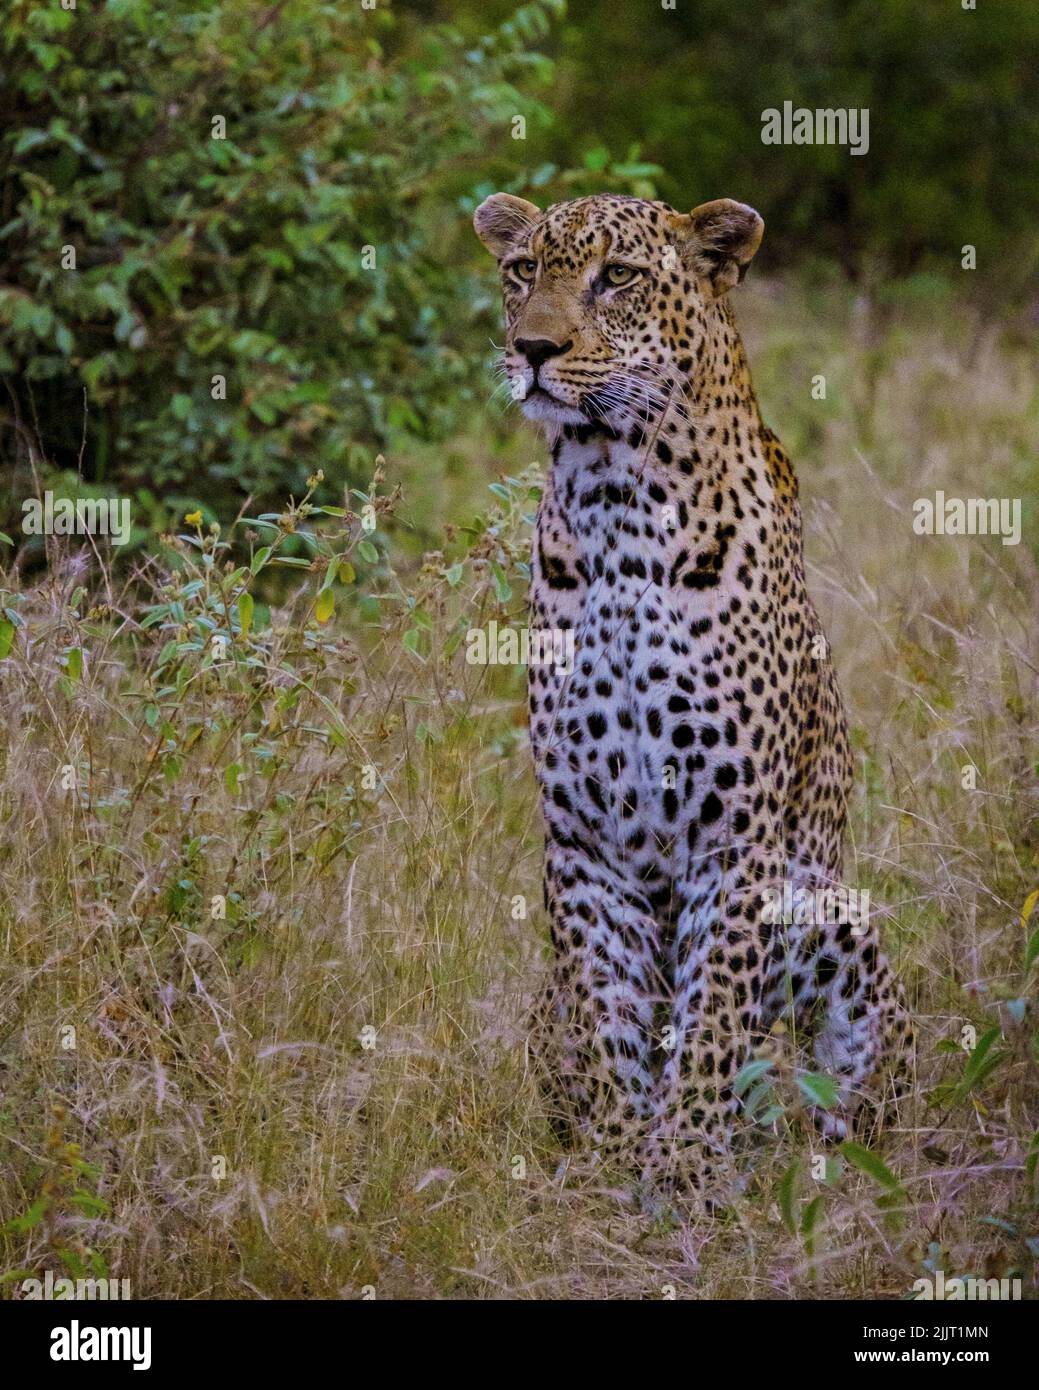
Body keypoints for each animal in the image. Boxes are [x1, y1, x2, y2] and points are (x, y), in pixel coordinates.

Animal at [473, 190, 912, 1199]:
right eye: (523, 271)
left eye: (616, 277)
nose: (532, 348)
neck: (614, 503)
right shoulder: (581, 835)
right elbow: (609, 1014)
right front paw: (614, 1159)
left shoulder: (734, 835)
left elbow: (710, 1010)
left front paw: (683, 1166)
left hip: (835, 920)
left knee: (841, 1096)